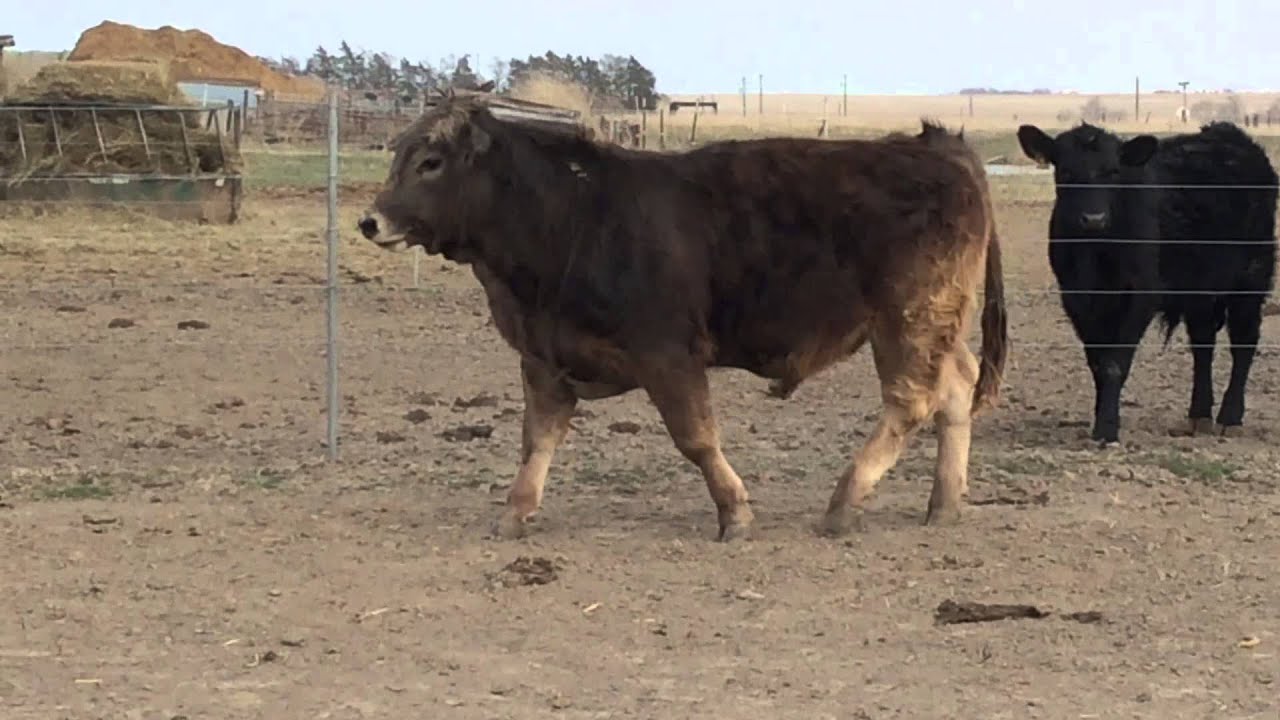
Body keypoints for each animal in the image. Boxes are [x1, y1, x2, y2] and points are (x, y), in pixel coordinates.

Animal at [357, 94, 1008, 541]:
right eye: (399, 155)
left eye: (431, 161)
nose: (370, 220)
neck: (571, 215)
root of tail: (935, 146)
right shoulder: (543, 359)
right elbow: (536, 441)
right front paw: (515, 513)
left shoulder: (668, 355)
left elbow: (695, 437)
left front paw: (734, 512)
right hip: (932, 324)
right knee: (955, 388)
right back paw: (944, 502)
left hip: (909, 318)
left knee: (911, 401)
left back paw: (845, 501)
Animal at [1016, 121, 1278, 444]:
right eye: (1065, 172)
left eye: (1113, 172)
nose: (1093, 218)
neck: (1095, 253)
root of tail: (1228, 134)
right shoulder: (1076, 298)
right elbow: (1097, 362)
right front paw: (1101, 418)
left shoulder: (1140, 295)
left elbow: (1115, 364)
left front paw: (1107, 429)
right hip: (1201, 290)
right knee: (1203, 344)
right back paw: (1199, 415)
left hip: (1251, 279)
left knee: (1244, 343)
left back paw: (1230, 418)